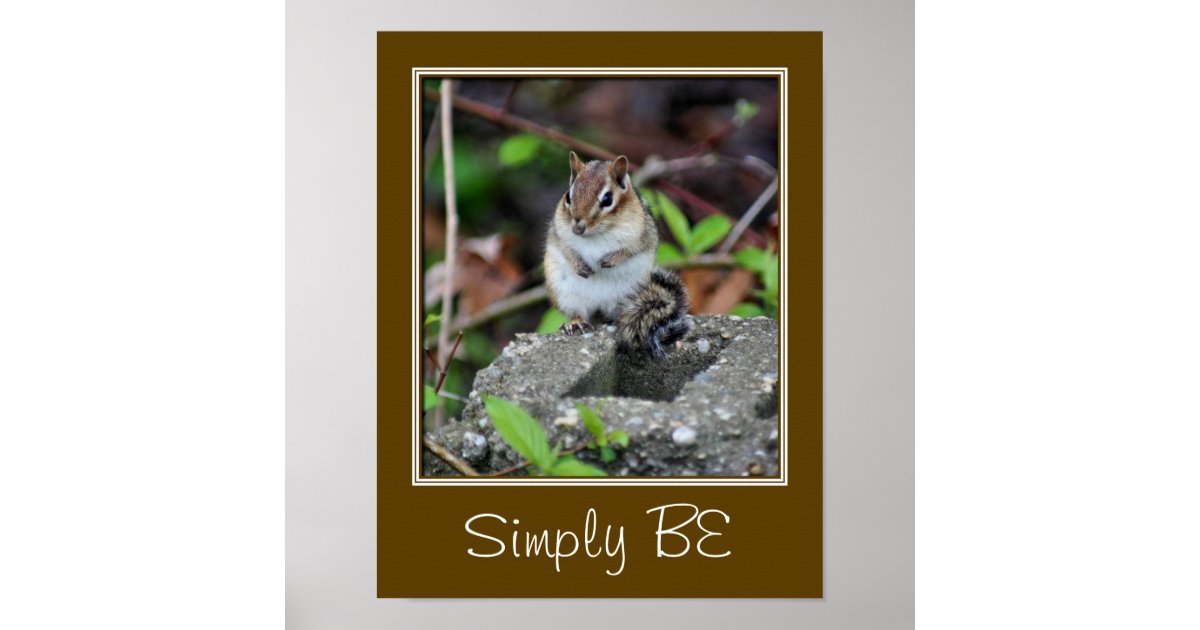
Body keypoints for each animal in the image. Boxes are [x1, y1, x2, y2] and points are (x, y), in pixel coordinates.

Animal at [543, 151, 691, 357]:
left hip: (630, 295)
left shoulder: (643, 235)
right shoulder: (557, 233)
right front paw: (579, 265)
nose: (577, 227)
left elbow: (632, 249)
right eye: (568, 197)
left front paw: (610, 260)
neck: (596, 235)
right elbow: (565, 249)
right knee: (578, 312)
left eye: (607, 200)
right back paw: (576, 323)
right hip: (565, 294)